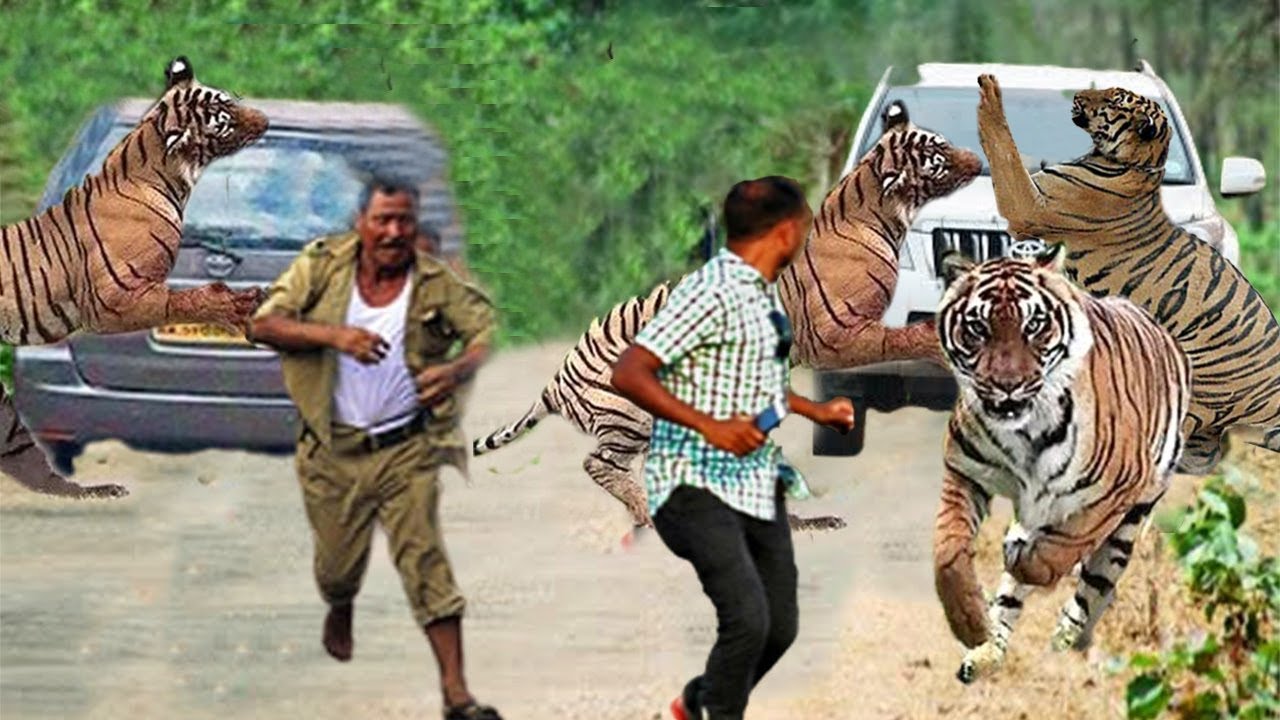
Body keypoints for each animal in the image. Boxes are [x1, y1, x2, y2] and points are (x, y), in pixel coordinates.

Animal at [0, 56, 268, 499]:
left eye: (230, 98)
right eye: (222, 117)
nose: (265, 120)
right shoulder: (115, 301)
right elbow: (184, 300)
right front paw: (237, 306)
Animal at [931, 247, 1191, 684]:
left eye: (1034, 325)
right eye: (978, 328)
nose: (1007, 385)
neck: (1024, 432)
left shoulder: (1118, 487)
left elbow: (1063, 548)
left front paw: (1026, 560)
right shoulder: (965, 470)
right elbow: (948, 552)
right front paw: (969, 621)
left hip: (1130, 523)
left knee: (1092, 590)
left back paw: (1064, 643)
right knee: (1010, 600)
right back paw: (986, 653)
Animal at [975, 72, 1280, 474]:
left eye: (1114, 99)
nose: (1078, 95)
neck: (1139, 164)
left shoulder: (1027, 205)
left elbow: (1003, 146)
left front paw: (990, 94)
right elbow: (1013, 153)